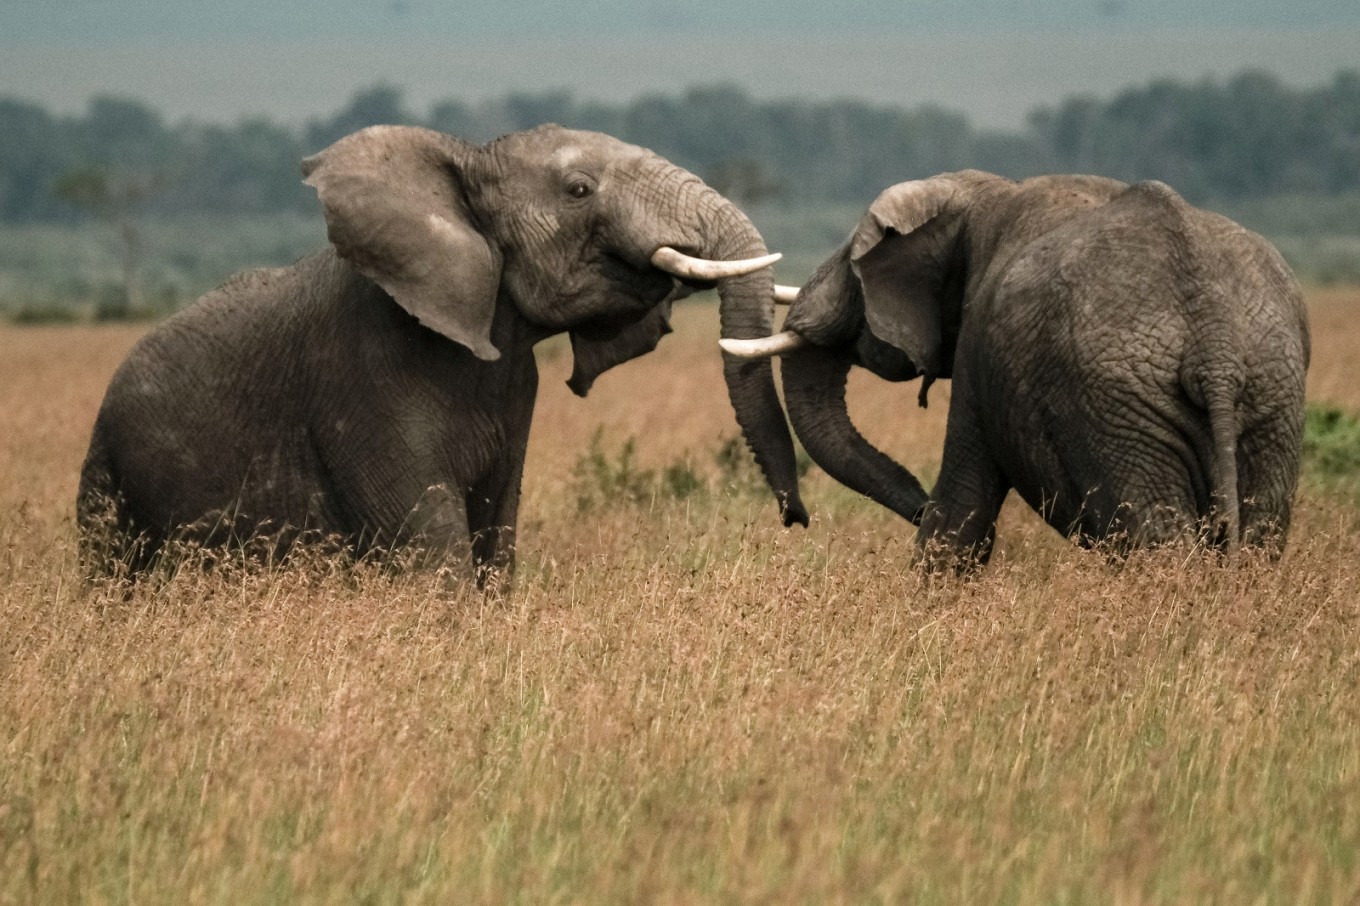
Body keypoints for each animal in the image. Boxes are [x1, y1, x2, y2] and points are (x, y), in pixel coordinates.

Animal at [78, 123, 808, 584]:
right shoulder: (362, 383)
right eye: (578, 189)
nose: (796, 518)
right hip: (108, 473)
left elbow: (496, 538)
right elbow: (434, 560)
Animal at [724, 169, 1310, 566]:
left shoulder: (978, 347)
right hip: (1271, 397)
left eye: (854, 265)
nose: (795, 520)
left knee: (1156, 540)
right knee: (1258, 536)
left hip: (1118, 409)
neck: (980, 191)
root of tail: (1214, 346)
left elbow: (961, 511)